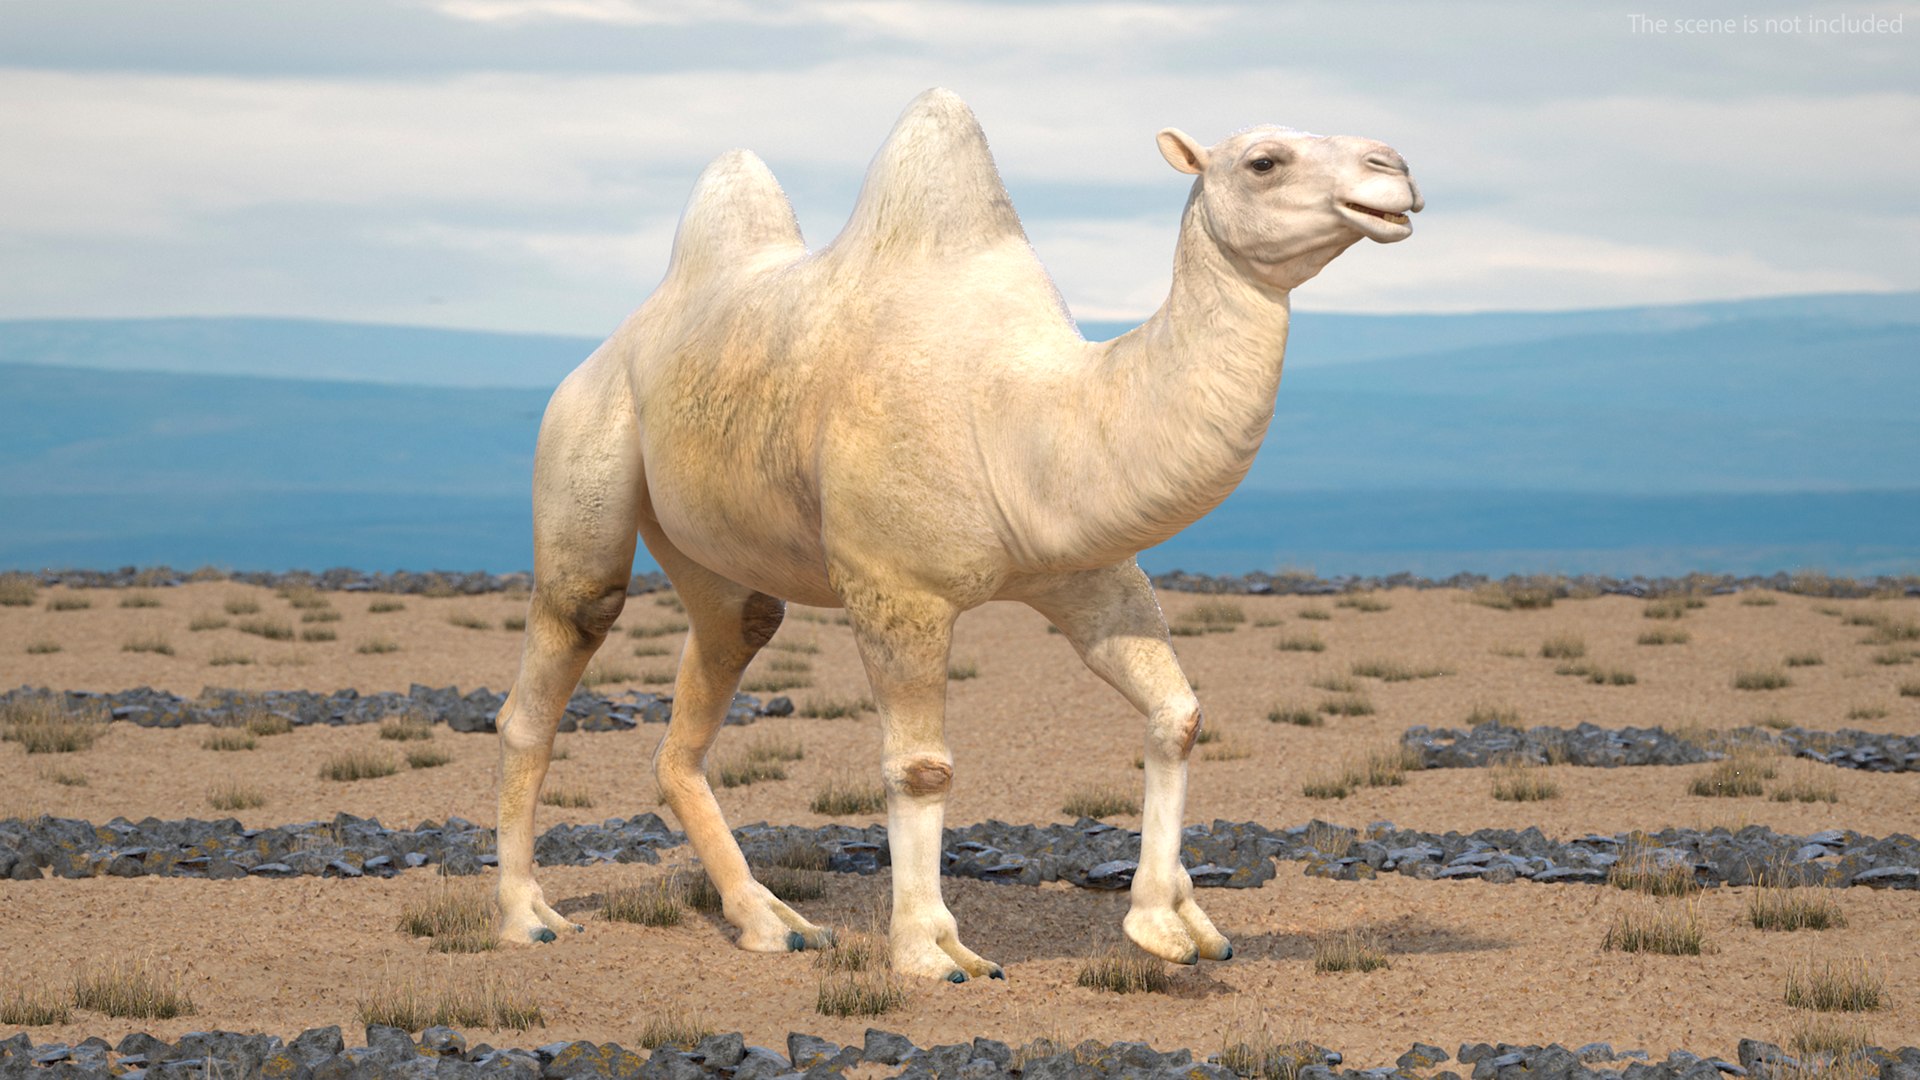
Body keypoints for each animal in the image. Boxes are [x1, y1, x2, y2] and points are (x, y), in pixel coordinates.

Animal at [493, 88, 1421, 981]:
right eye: (1264, 160)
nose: (1397, 169)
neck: (1018, 411)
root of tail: (606, 350)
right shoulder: (895, 588)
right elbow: (923, 768)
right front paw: (932, 950)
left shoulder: (1087, 570)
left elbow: (1178, 715)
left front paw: (1172, 921)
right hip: (584, 445)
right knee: (563, 642)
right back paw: (527, 915)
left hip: (709, 544)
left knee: (719, 662)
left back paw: (772, 922)